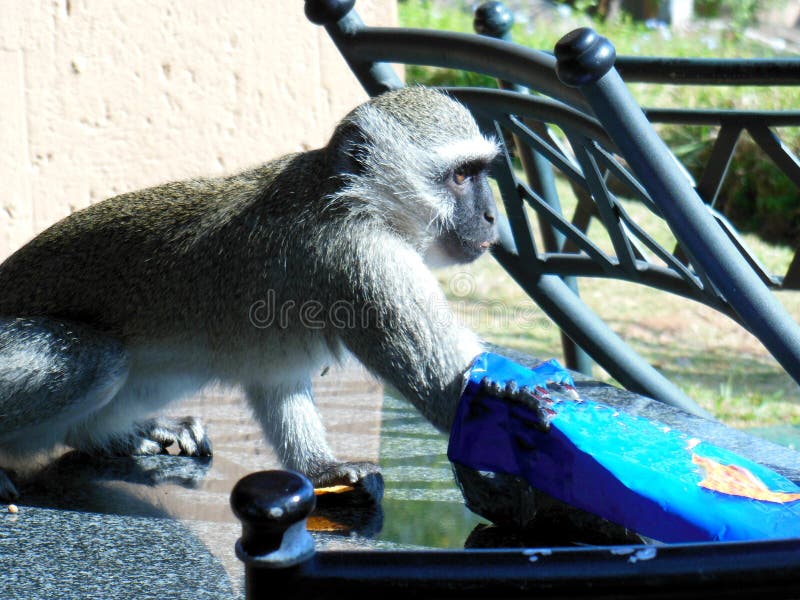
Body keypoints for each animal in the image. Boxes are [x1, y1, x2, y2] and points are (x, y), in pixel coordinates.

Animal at [0, 86, 500, 502]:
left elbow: (276, 381)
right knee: (98, 359)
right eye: (461, 177)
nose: (493, 216)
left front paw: (321, 469)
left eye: (479, 173)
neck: (352, 199)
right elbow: (447, 391)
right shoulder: (363, 257)